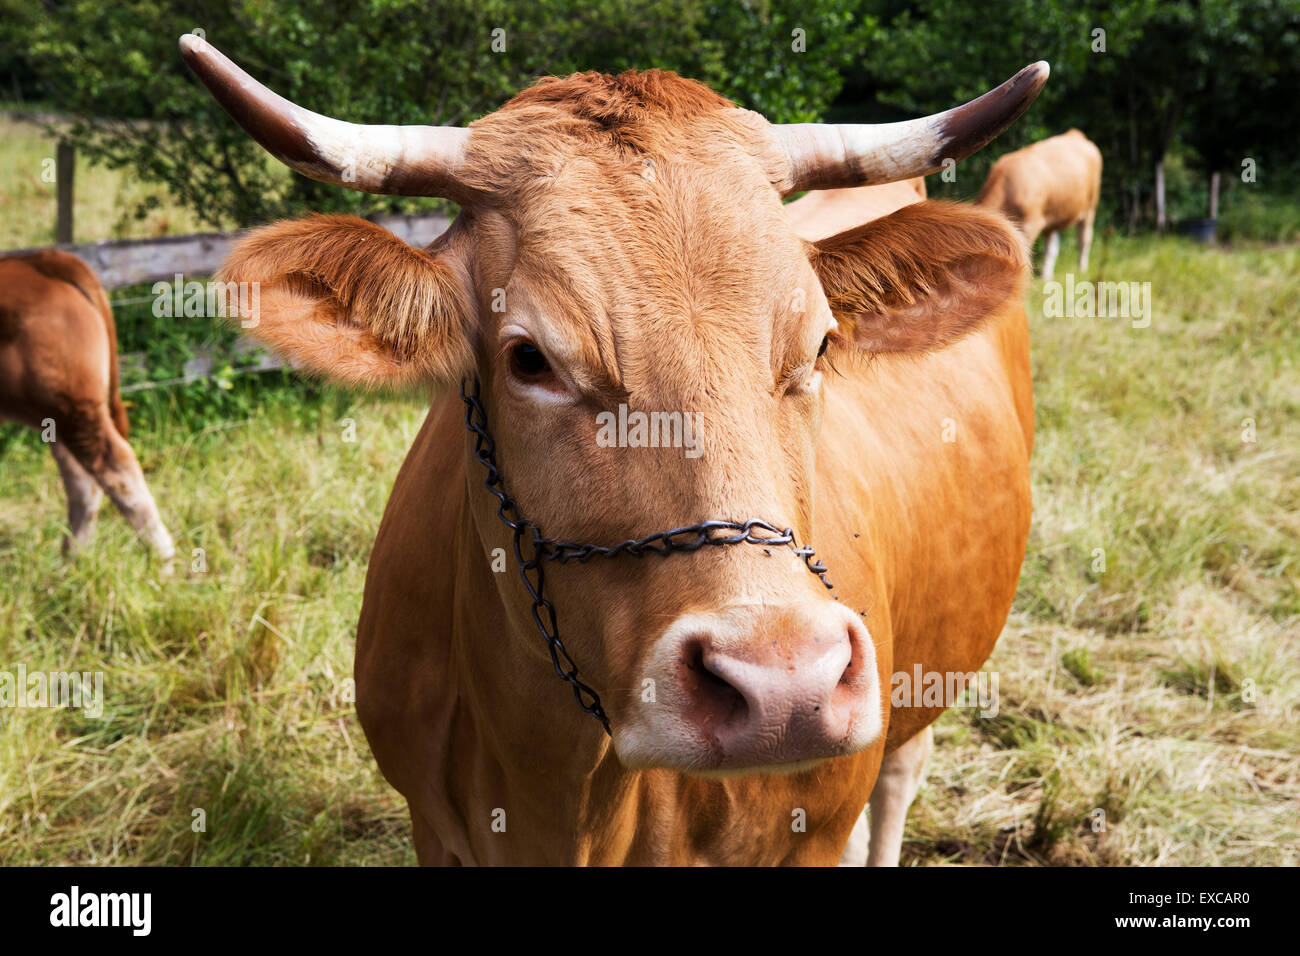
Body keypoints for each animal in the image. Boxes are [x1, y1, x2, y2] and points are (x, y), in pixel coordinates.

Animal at [0, 250, 175, 565]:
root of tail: (34, 260)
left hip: (74, 406)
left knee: (115, 468)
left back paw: (162, 561)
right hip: (58, 415)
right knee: (83, 481)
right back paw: (70, 563)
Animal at [976, 128, 1102, 281]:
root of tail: (1075, 134)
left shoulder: (1031, 224)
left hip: (1090, 207)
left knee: (1084, 239)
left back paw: (1081, 269)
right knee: (1052, 248)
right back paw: (1046, 276)